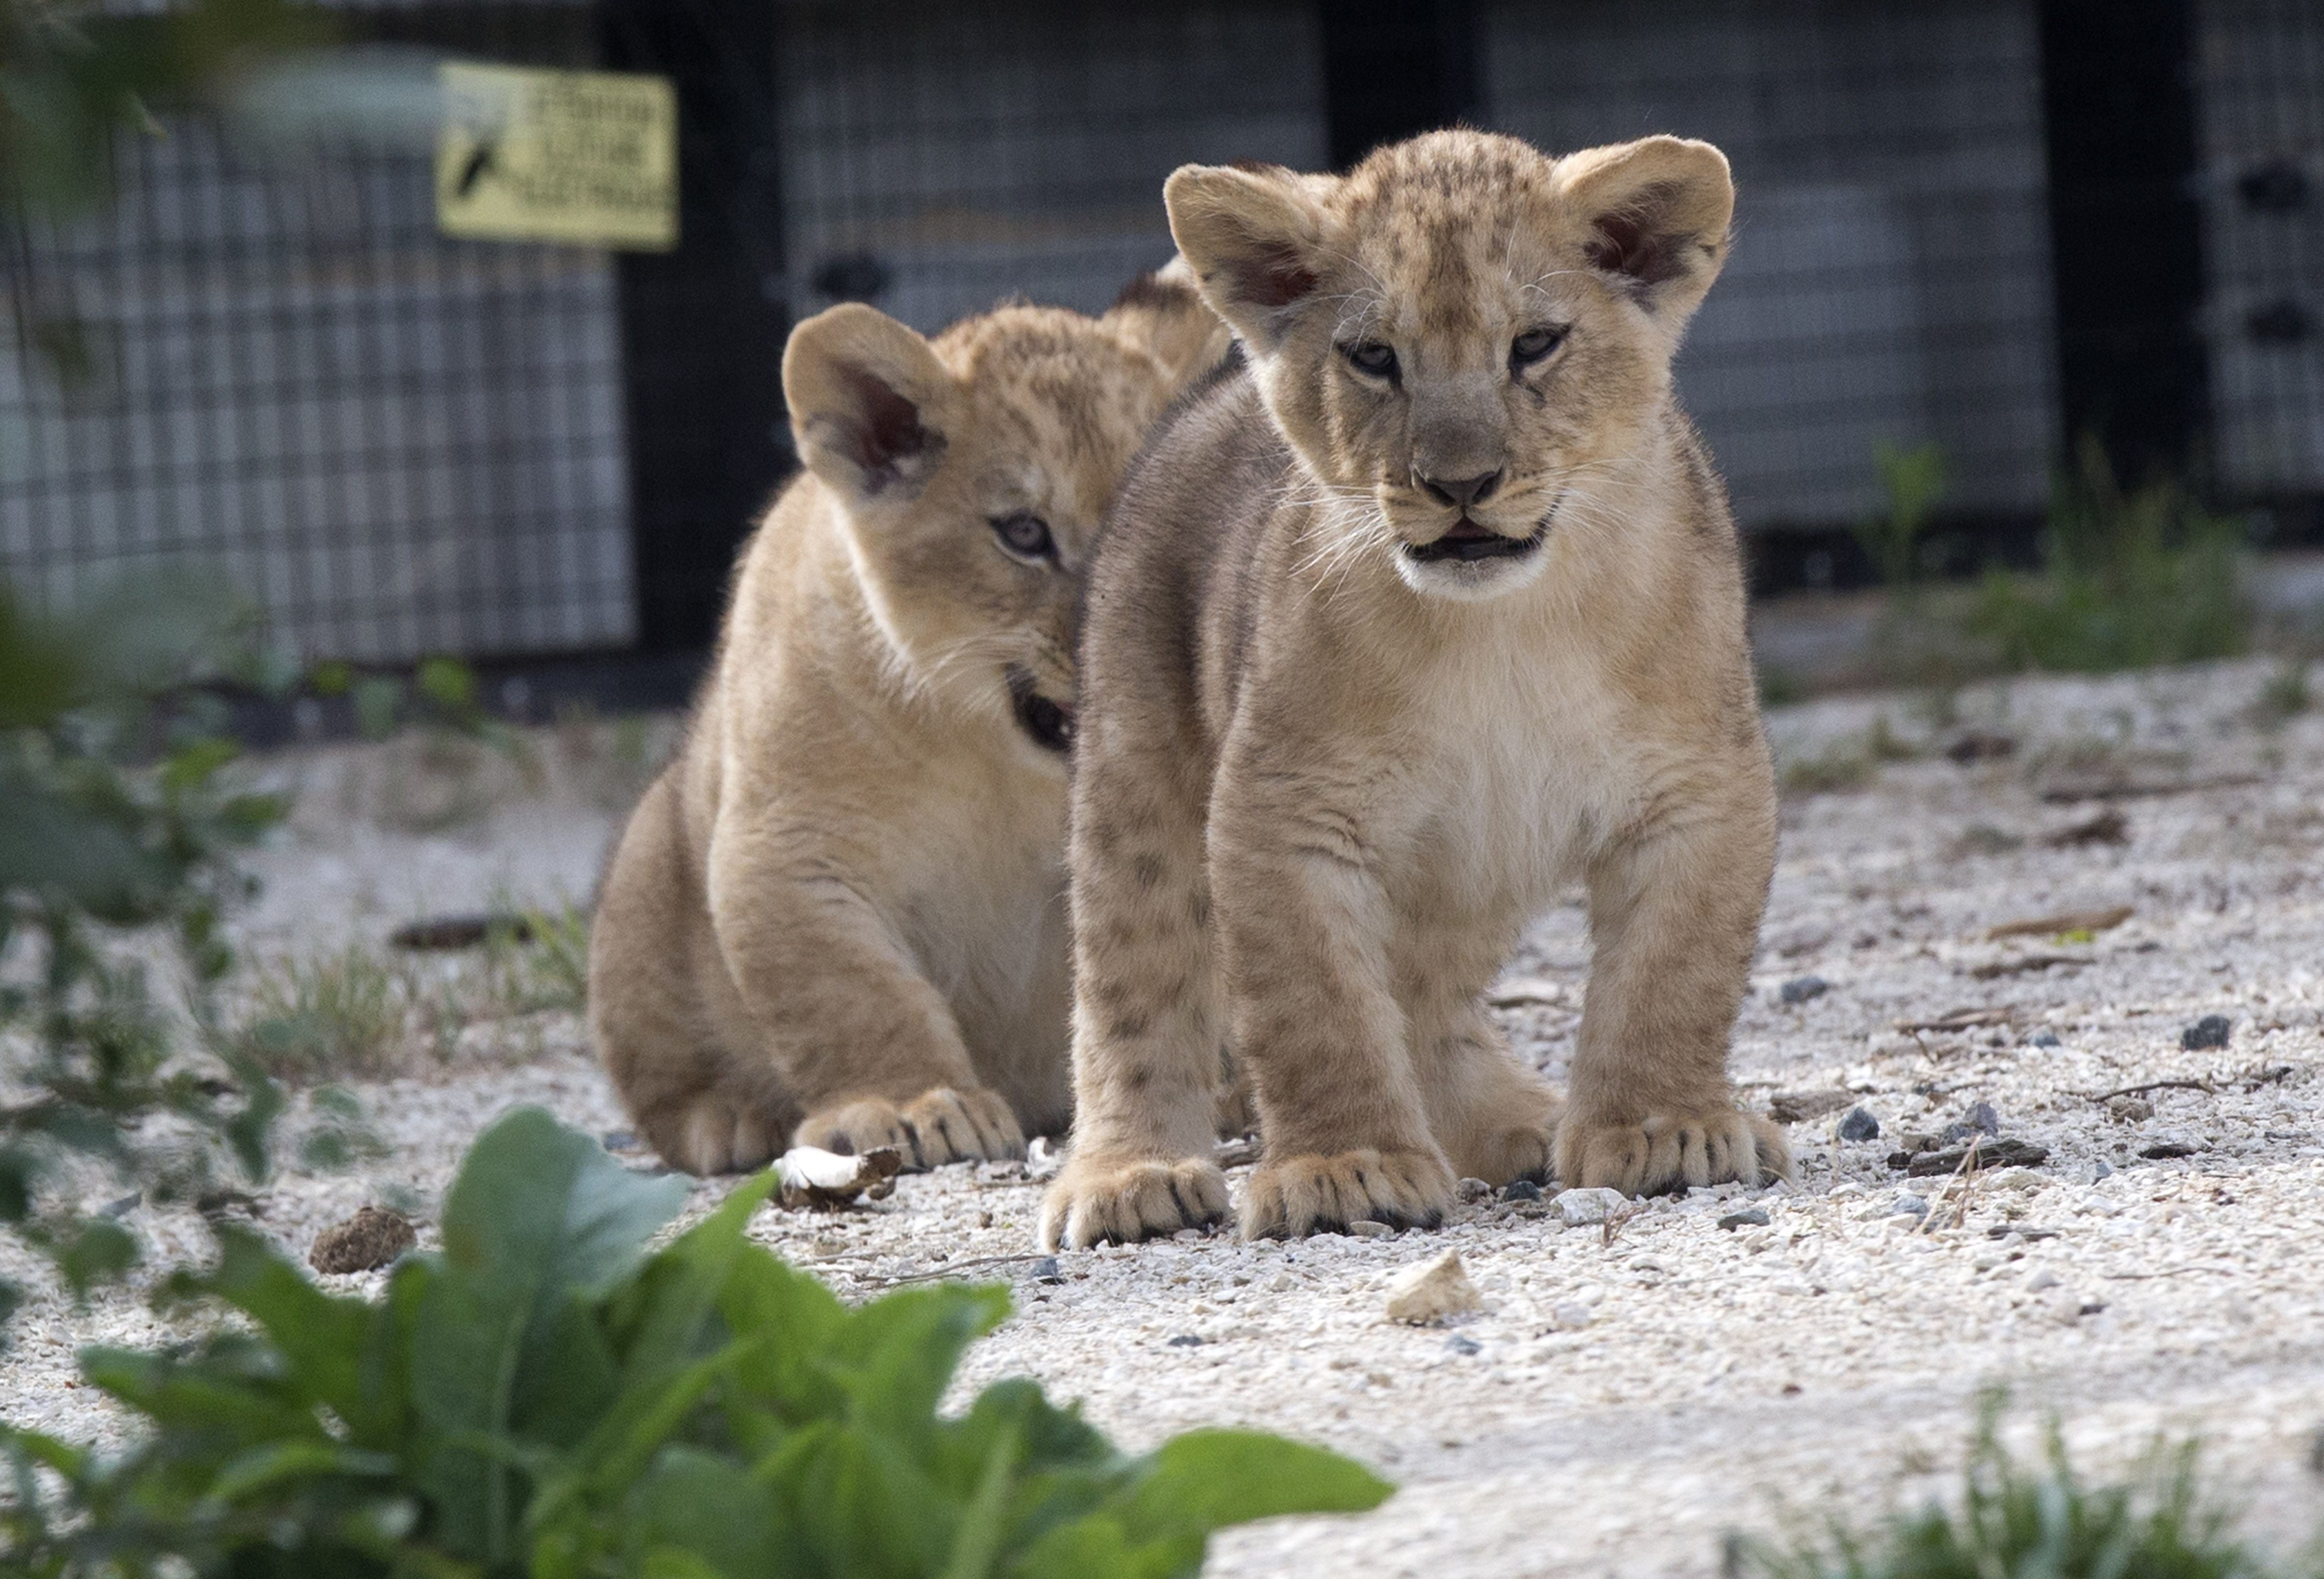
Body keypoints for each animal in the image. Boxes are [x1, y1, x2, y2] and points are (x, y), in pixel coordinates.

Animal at [592, 274, 1228, 1176]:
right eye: (1023, 532)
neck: (992, 755)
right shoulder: (788, 849)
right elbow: (856, 996)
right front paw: (916, 1106)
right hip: (644, 879)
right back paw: (732, 1118)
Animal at [1041, 131, 1790, 1248]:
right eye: (1373, 357)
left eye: (1535, 344)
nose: (1461, 485)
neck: (1502, 633)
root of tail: (1202, 406)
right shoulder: (1282, 813)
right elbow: (1314, 1006)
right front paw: (1345, 1167)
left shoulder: (1700, 788)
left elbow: (1673, 975)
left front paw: (1662, 1128)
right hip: (1135, 777)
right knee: (1134, 982)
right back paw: (1131, 1175)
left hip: (1469, 867)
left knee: (1426, 999)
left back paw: (1523, 1123)